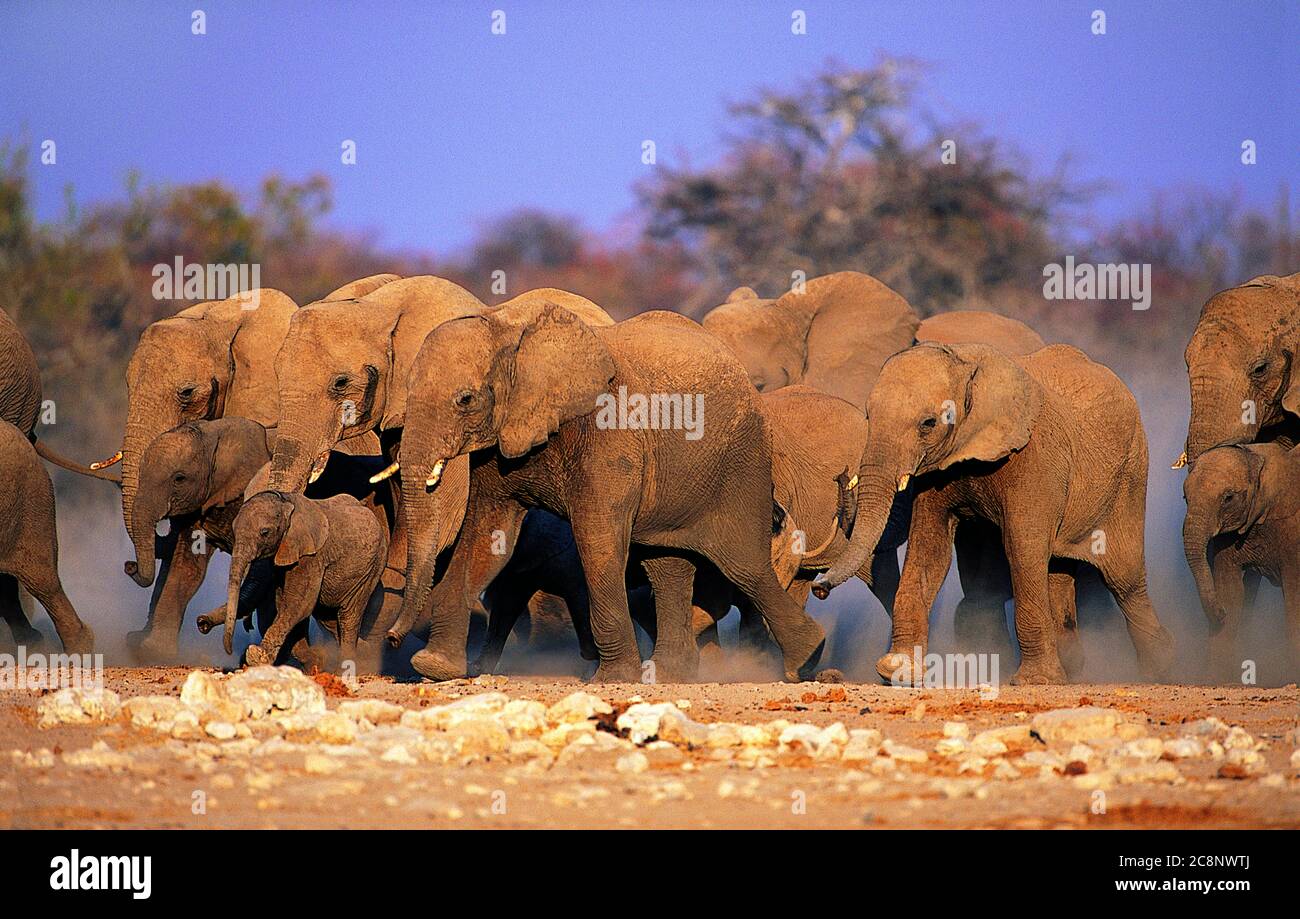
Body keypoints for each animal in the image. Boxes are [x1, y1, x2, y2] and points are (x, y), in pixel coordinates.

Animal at [226, 492, 388, 669]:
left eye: (265, 532)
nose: (230, 651)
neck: (287, 501)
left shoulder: (311, 556)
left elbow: (298, 604)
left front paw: (256, 658)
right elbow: (285, 604)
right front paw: (314, 662)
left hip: (373, 568)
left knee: (348, 616)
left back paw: (348, 664)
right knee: (329, 618)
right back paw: (363, 653)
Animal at [390, 303, 826, 683]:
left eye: (465, 399)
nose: (393, 639)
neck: (510, 327)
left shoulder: (609, 435)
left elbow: (597, 540)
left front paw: (612, 679)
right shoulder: (498, 445)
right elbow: (487, 535)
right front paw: (434, 667)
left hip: (741, 463)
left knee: (744, 564)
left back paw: (806, 659)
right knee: (667, 567)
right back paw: (668, 676)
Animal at [814, 341, 1175, 685]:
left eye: (928, 424)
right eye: (868, 416)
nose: (819, 589)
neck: (969, 364)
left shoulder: (1032, 457)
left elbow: (1022, 549)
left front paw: (1036, 681)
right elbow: (928, 552)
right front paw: (897, 672)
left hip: (1130, 472)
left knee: (1124, 579)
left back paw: (1160, 669)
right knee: (1058, 567)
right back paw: (1073, 668)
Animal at [1182, 442, 1300, 677]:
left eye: (1228, 498)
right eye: (1185, 498)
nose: (1220, 614)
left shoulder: (1292, 533)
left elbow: (1294, 591)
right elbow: (1231, 590)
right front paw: (1218, 678)